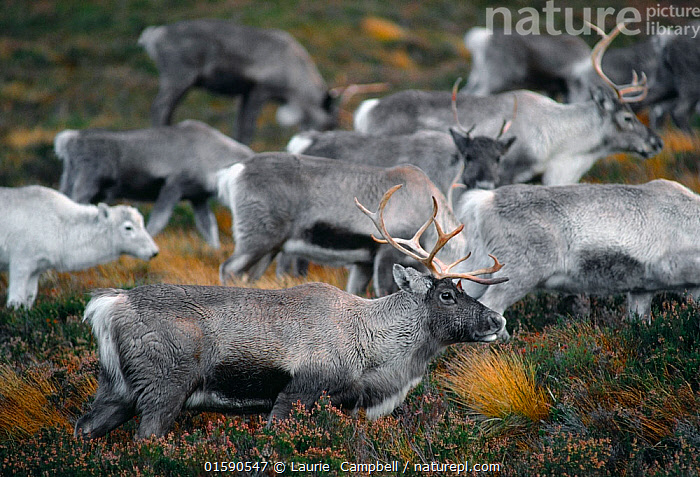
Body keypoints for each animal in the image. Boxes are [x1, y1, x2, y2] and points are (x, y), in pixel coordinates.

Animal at [74, 186, 508, 440]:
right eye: (447, 294)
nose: (498, 321)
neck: (371, 349)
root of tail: (109, 304)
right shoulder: (298, 391)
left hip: (115, 389)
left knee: (83, 429)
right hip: (164, 389)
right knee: (144, 439)